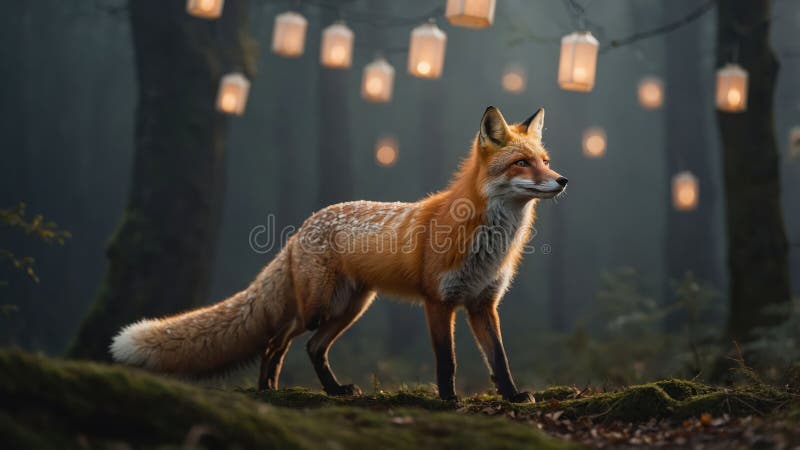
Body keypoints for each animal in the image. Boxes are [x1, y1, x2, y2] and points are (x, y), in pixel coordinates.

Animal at [110, 106, 567, 403]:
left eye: (545, 161)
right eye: (522, 163)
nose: (562, 180)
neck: (488, 242)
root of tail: (303, 227)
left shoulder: (482, 305)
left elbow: (500, 360)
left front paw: (512, 396)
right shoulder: (439, 302)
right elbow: (447, 361)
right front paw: (449, 400)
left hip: (350, 308)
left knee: (312, 348)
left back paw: (330, 389)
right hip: (317, 307)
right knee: (276, 341)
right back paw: (268, 389)